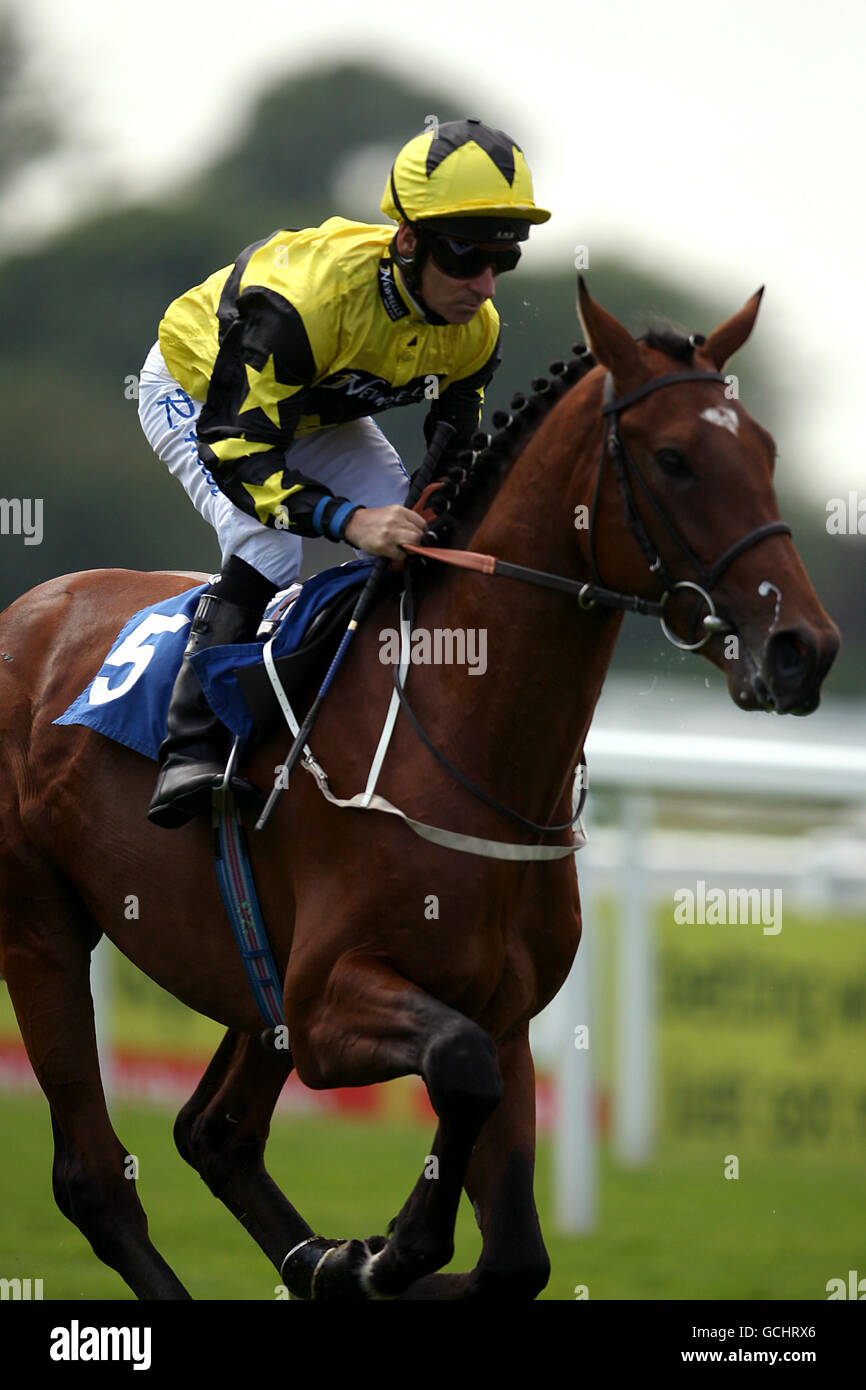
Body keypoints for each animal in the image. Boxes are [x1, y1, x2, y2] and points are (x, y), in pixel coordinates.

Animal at [0, 280, 840, 1300]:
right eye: (674, 459)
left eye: (765, 451)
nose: (802, 648)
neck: (462, 737)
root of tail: (27, 610)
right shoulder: (328, 1006)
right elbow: (458, 1069)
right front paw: (383, 1251)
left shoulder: (498, 1008)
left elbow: (513, 1249)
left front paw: (359, 1259)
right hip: (40, 926)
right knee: (94, 1178)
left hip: (246, 969)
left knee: (216, 1134)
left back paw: (314, 1256)